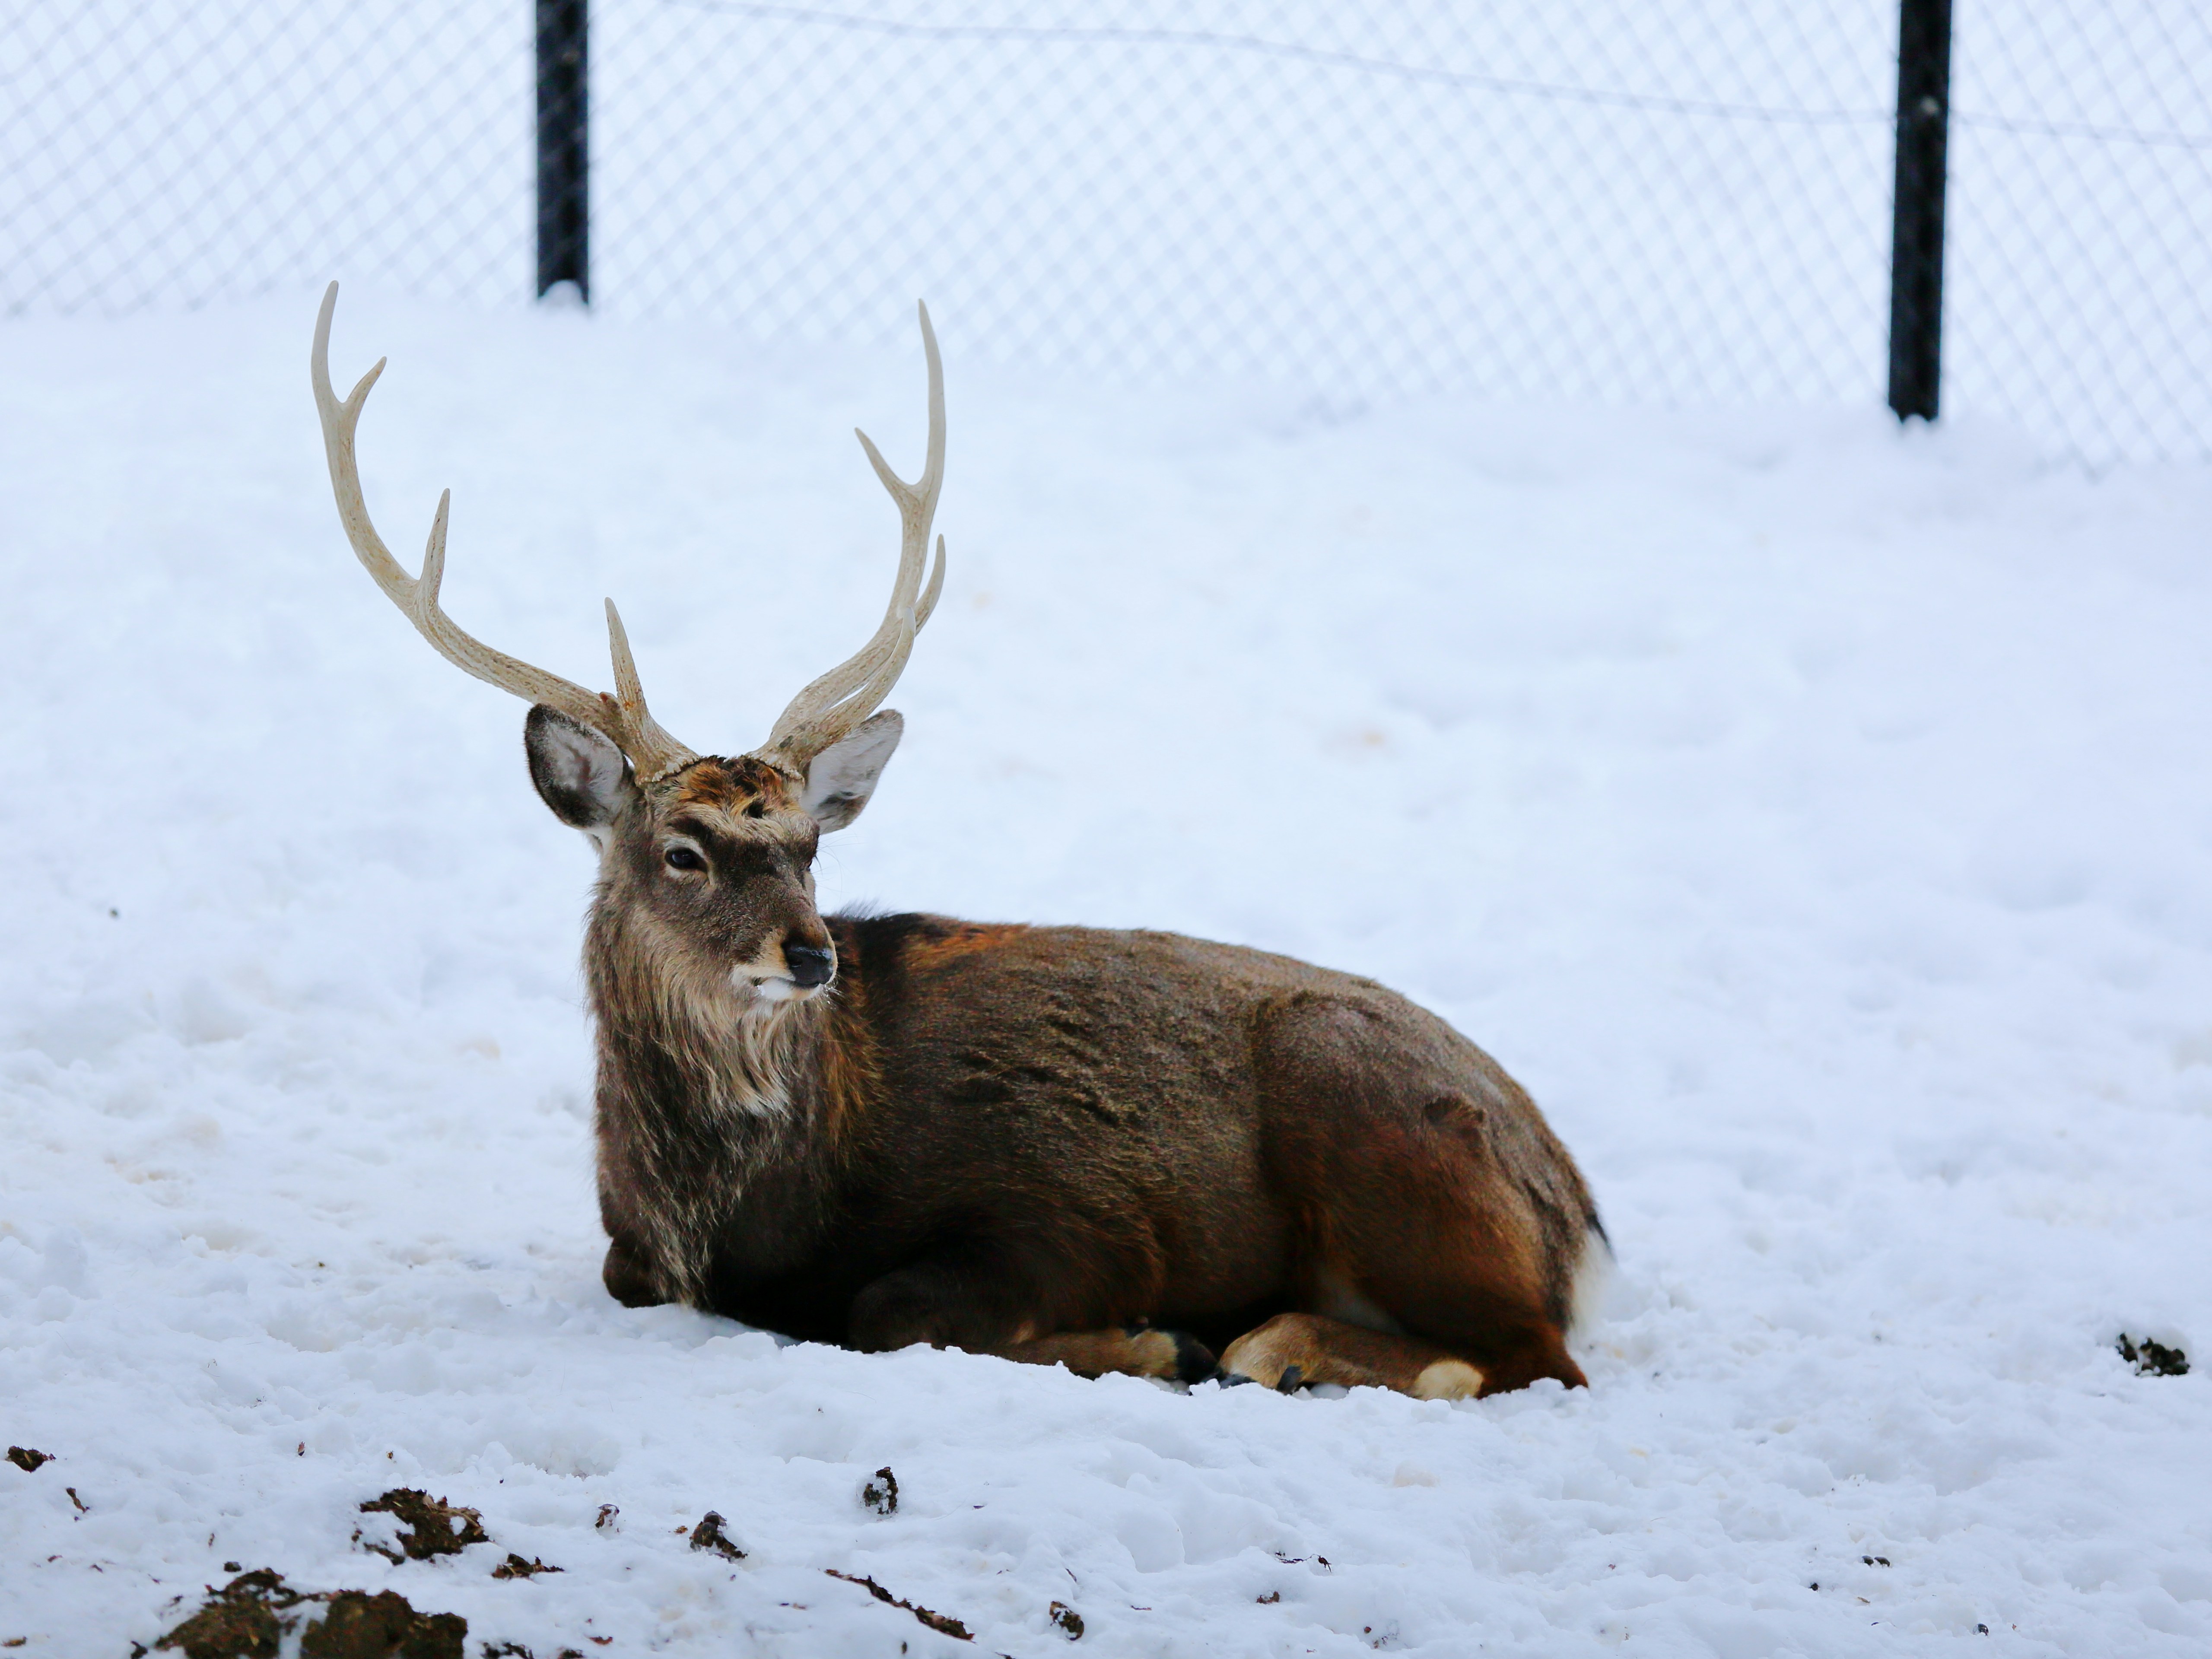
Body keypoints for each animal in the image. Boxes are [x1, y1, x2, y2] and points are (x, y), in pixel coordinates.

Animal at [310, 283, 1607, 1401]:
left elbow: (887, 1308)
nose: (813, 954)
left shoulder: (1077, 1207)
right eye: (683, 848)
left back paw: (1266, 1345)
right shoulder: (631, 1255)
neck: (756, 1212)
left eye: (807, 845)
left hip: (1375, 1127)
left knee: (1531, 1354)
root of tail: (1574, 1209)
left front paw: (1158, 1342)